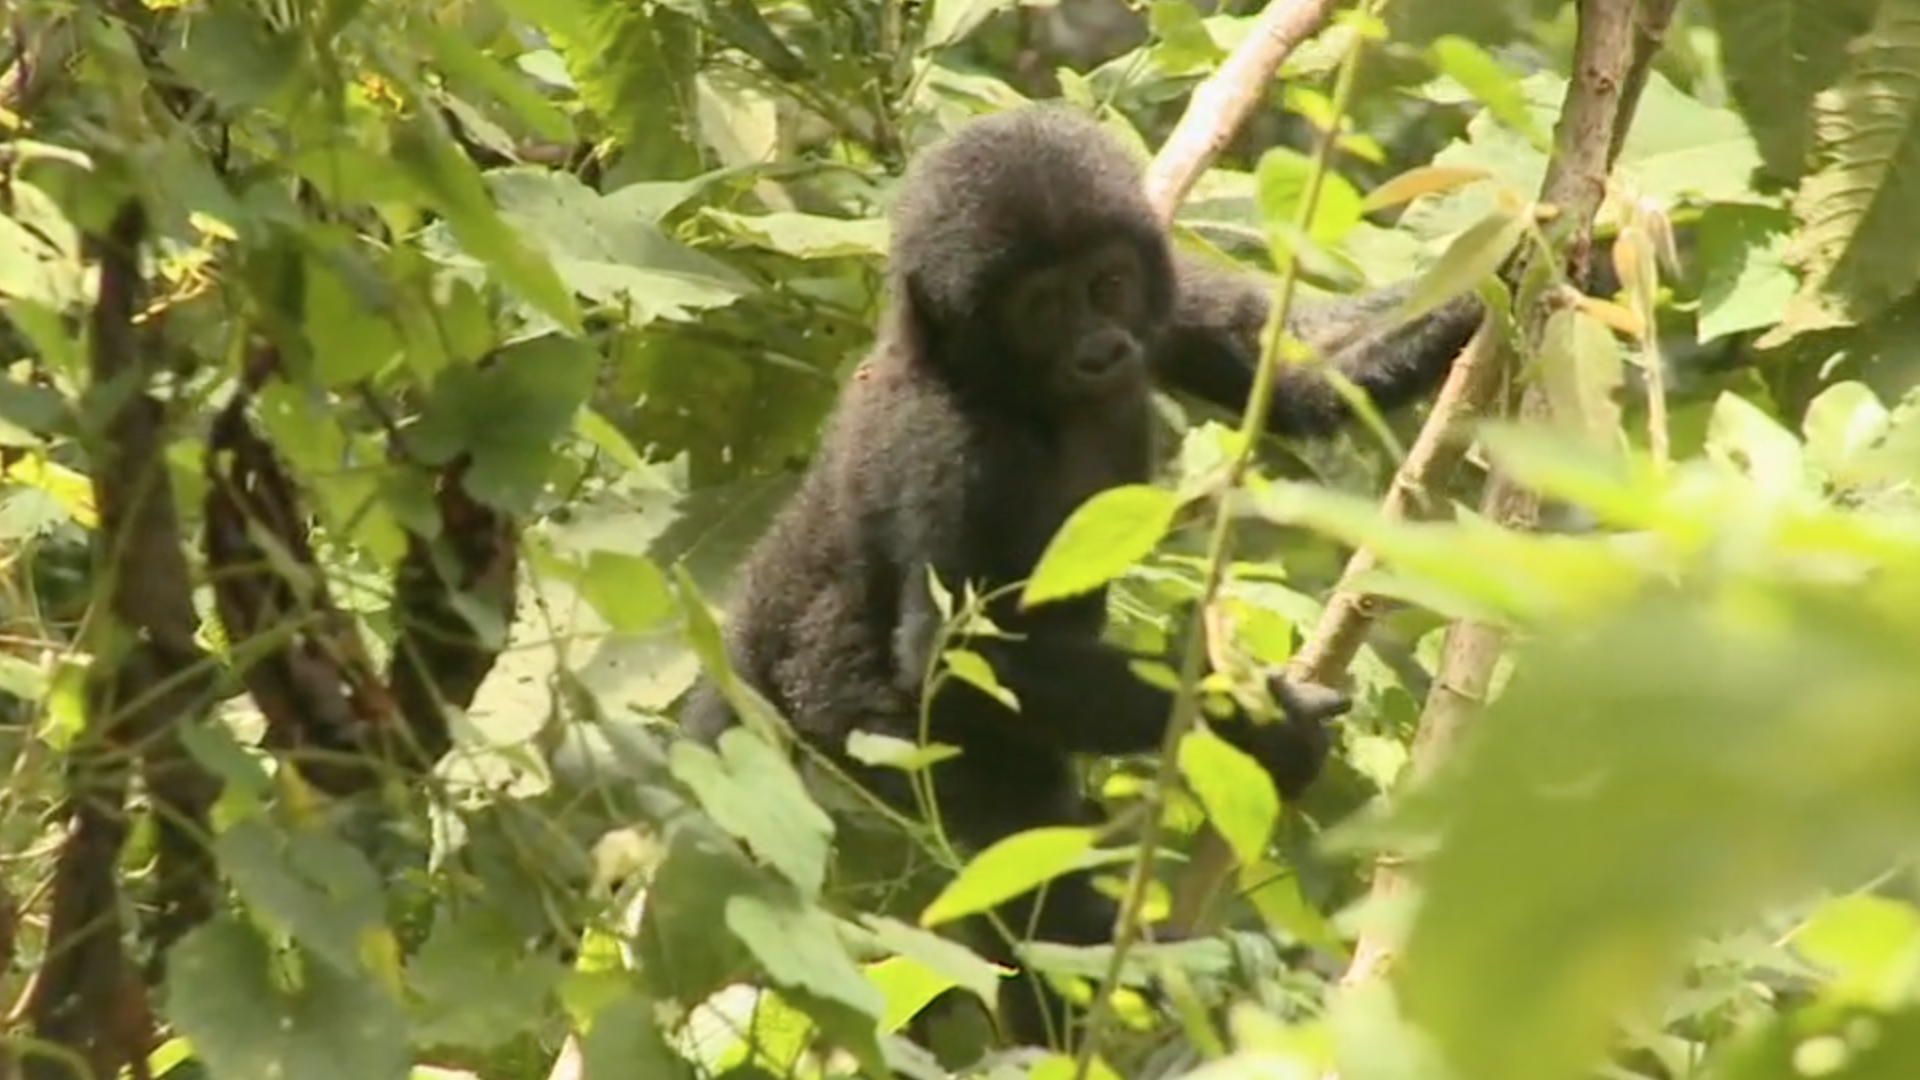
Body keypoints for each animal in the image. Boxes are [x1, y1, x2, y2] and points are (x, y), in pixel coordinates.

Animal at [678, 103, 1487, 1048]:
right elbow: (956, 659)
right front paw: (1255, 724)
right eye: (1042, 308)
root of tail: (750, 635)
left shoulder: (1162, 303)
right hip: (849, 710)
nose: (1101, 349)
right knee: (1015, 825)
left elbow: (1298, 362)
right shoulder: (946, 449)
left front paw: (1516, 269)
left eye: (1105, 285)